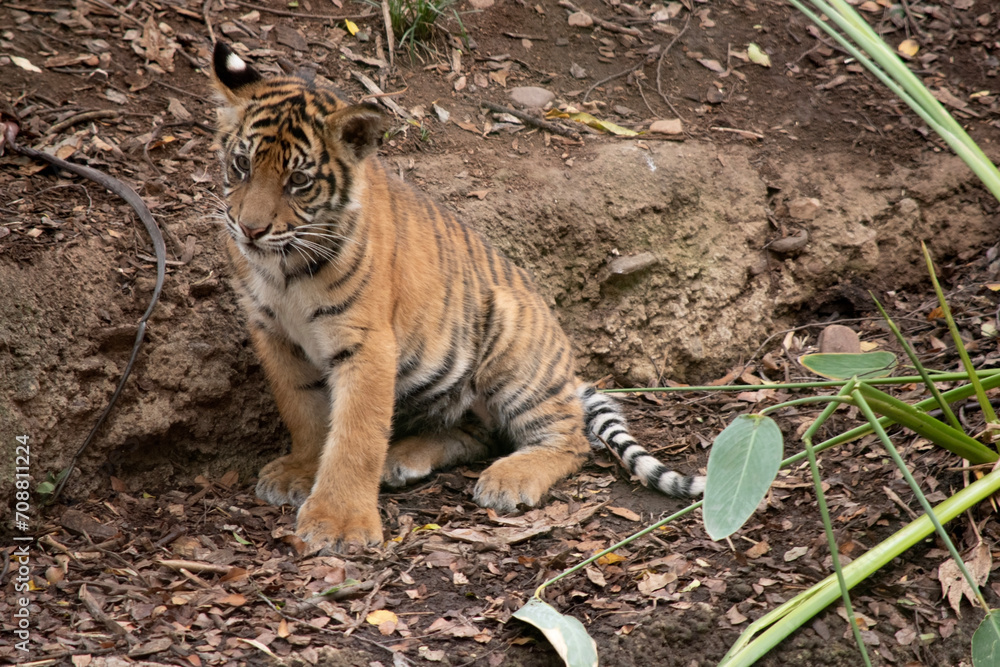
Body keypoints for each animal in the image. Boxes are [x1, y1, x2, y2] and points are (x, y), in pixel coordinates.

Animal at [211, 40, 705, 552]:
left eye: (299, 181)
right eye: (242, 165)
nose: (249, 229)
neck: (283, 270)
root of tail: (567, 373)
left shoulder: (366, 343)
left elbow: (355, 435)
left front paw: (339, 523)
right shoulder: (273, 333)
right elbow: (303, 411)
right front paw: (301, 471)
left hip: (511, 345)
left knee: (569, 439)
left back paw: (508, 479)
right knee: (479, 433)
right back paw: (403, 459)